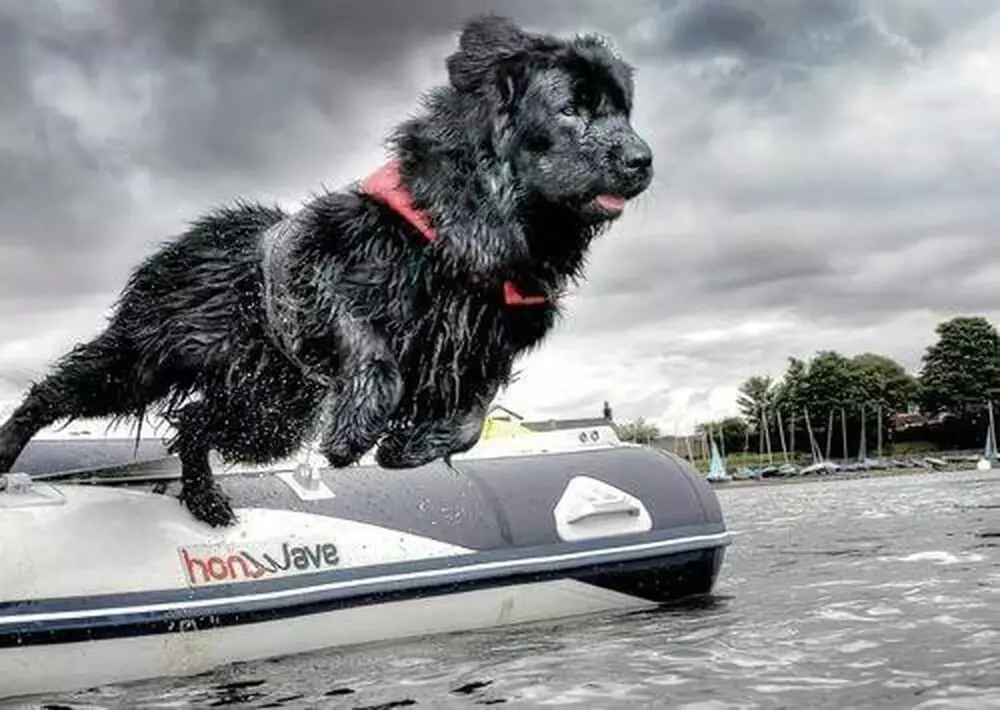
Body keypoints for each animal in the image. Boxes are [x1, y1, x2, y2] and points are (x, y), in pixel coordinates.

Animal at [0, 15, 648, 528]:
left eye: (624, 110)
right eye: (572, 109)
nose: (644, 160)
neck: (469, 229)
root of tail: (188, 240)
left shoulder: (489, 344)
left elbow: (472, 416)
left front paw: (406, 446)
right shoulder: (319, 280)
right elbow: (375, 356)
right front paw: (356, 431)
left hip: (269, 412)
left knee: (195, 422)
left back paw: (207, 499)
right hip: (148, 359)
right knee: (54, 391)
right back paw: (8, 459)